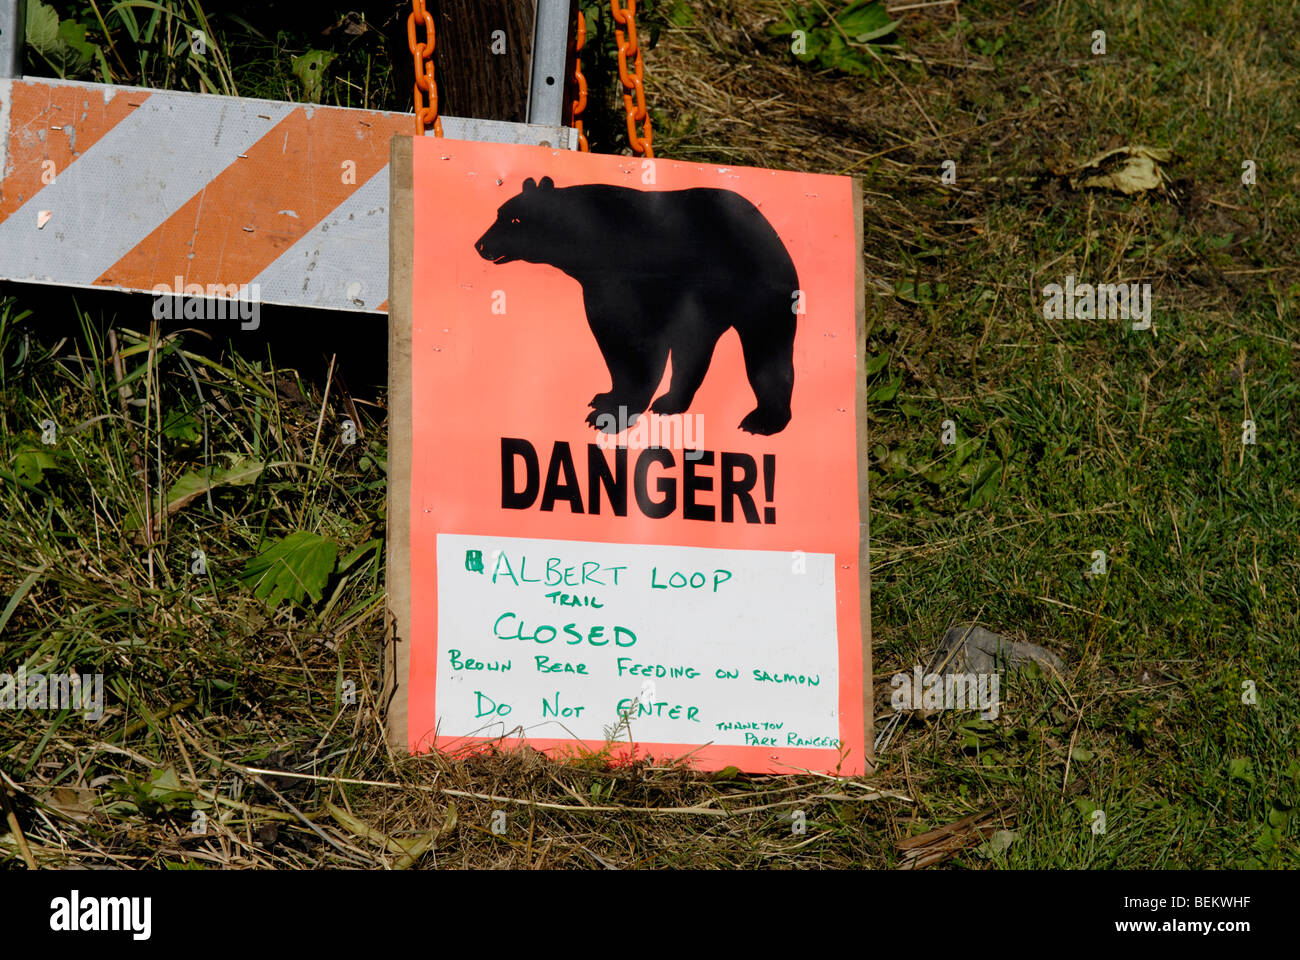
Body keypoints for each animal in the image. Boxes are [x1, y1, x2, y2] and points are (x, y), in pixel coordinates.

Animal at [474, 176, 798, 435]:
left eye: (514, 220)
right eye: (499, 214)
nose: (480, 245)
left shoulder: (630, 279)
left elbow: (634, 341)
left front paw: (609, 416)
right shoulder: (599, 286)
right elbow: (613, 340)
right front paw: (606, 397)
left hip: (760, 287)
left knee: (767, 347)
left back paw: (763, 420)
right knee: (697, 349)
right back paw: (671, 402)